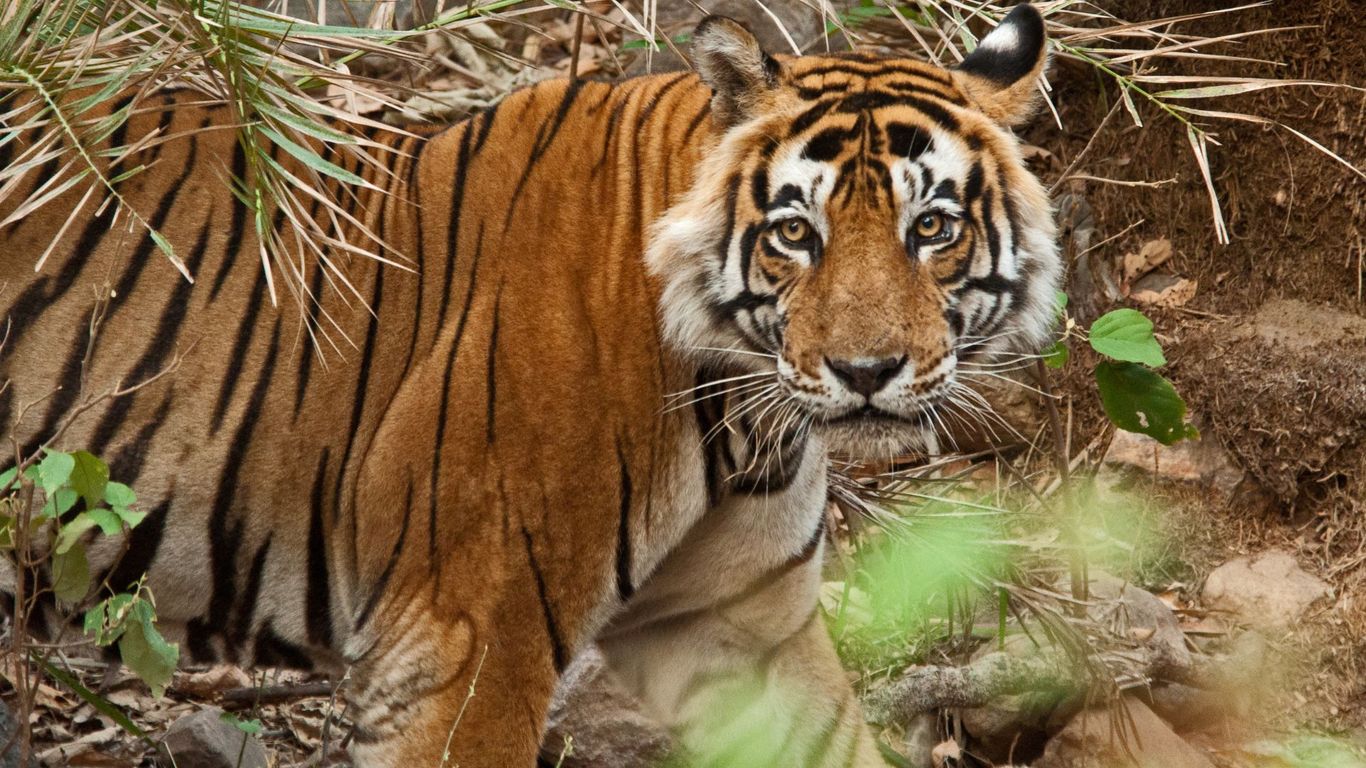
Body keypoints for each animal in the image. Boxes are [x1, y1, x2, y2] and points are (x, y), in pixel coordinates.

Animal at [0, 4, 1058, 766]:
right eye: (798, 233)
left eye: (931, 228)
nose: (867, 372)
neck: (739, 404)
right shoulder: (466, 636)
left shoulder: (744, 631)